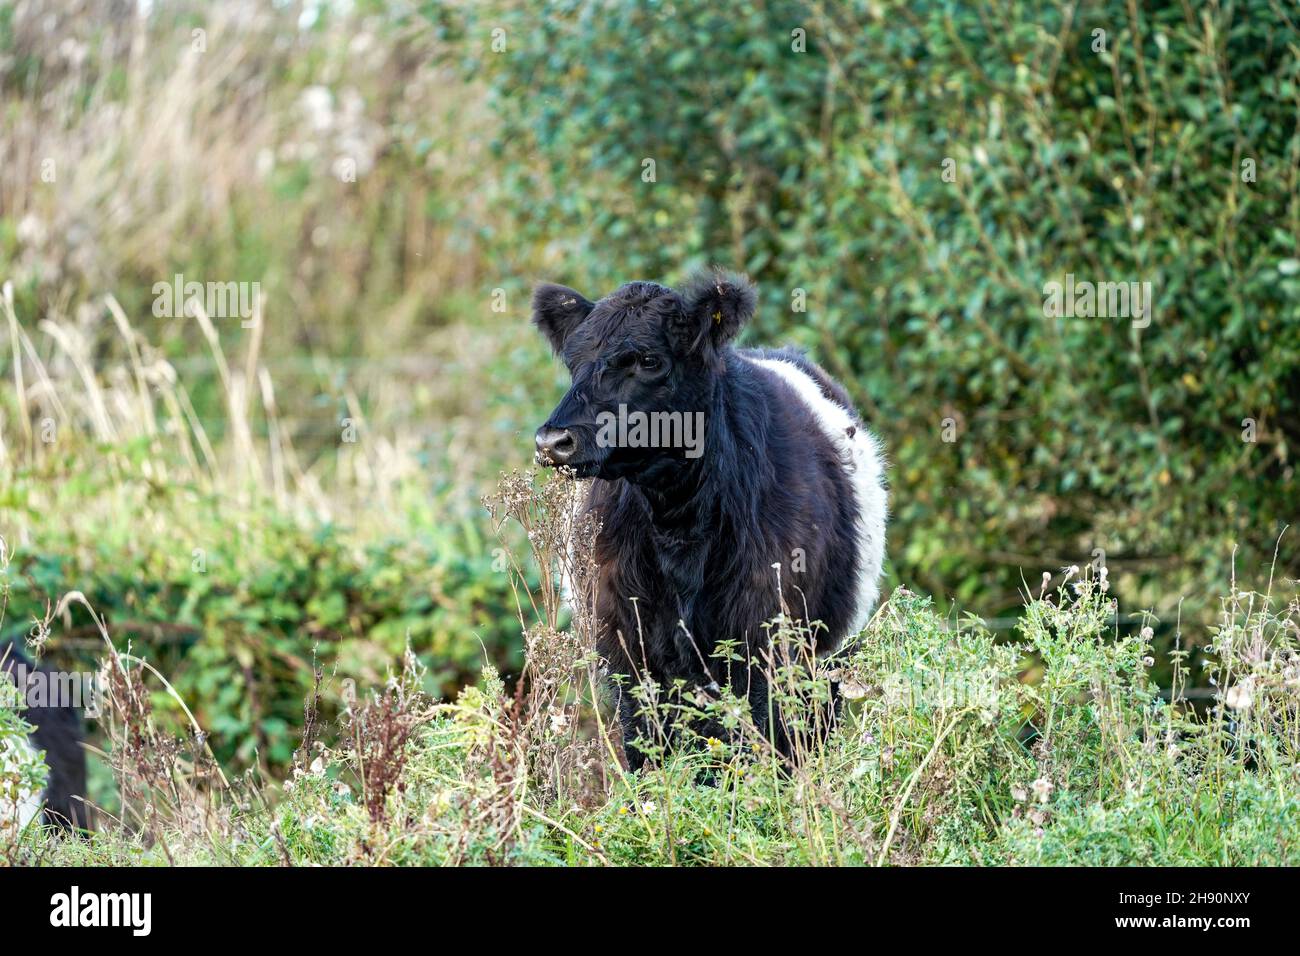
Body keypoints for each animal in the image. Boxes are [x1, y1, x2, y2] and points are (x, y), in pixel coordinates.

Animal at [531, 270, 887, 769]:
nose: (552, 442)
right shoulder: (626, 650)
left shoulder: (765, 644)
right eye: (573, 359)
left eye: (648, 359)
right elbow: (646, 745)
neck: (677, 524)